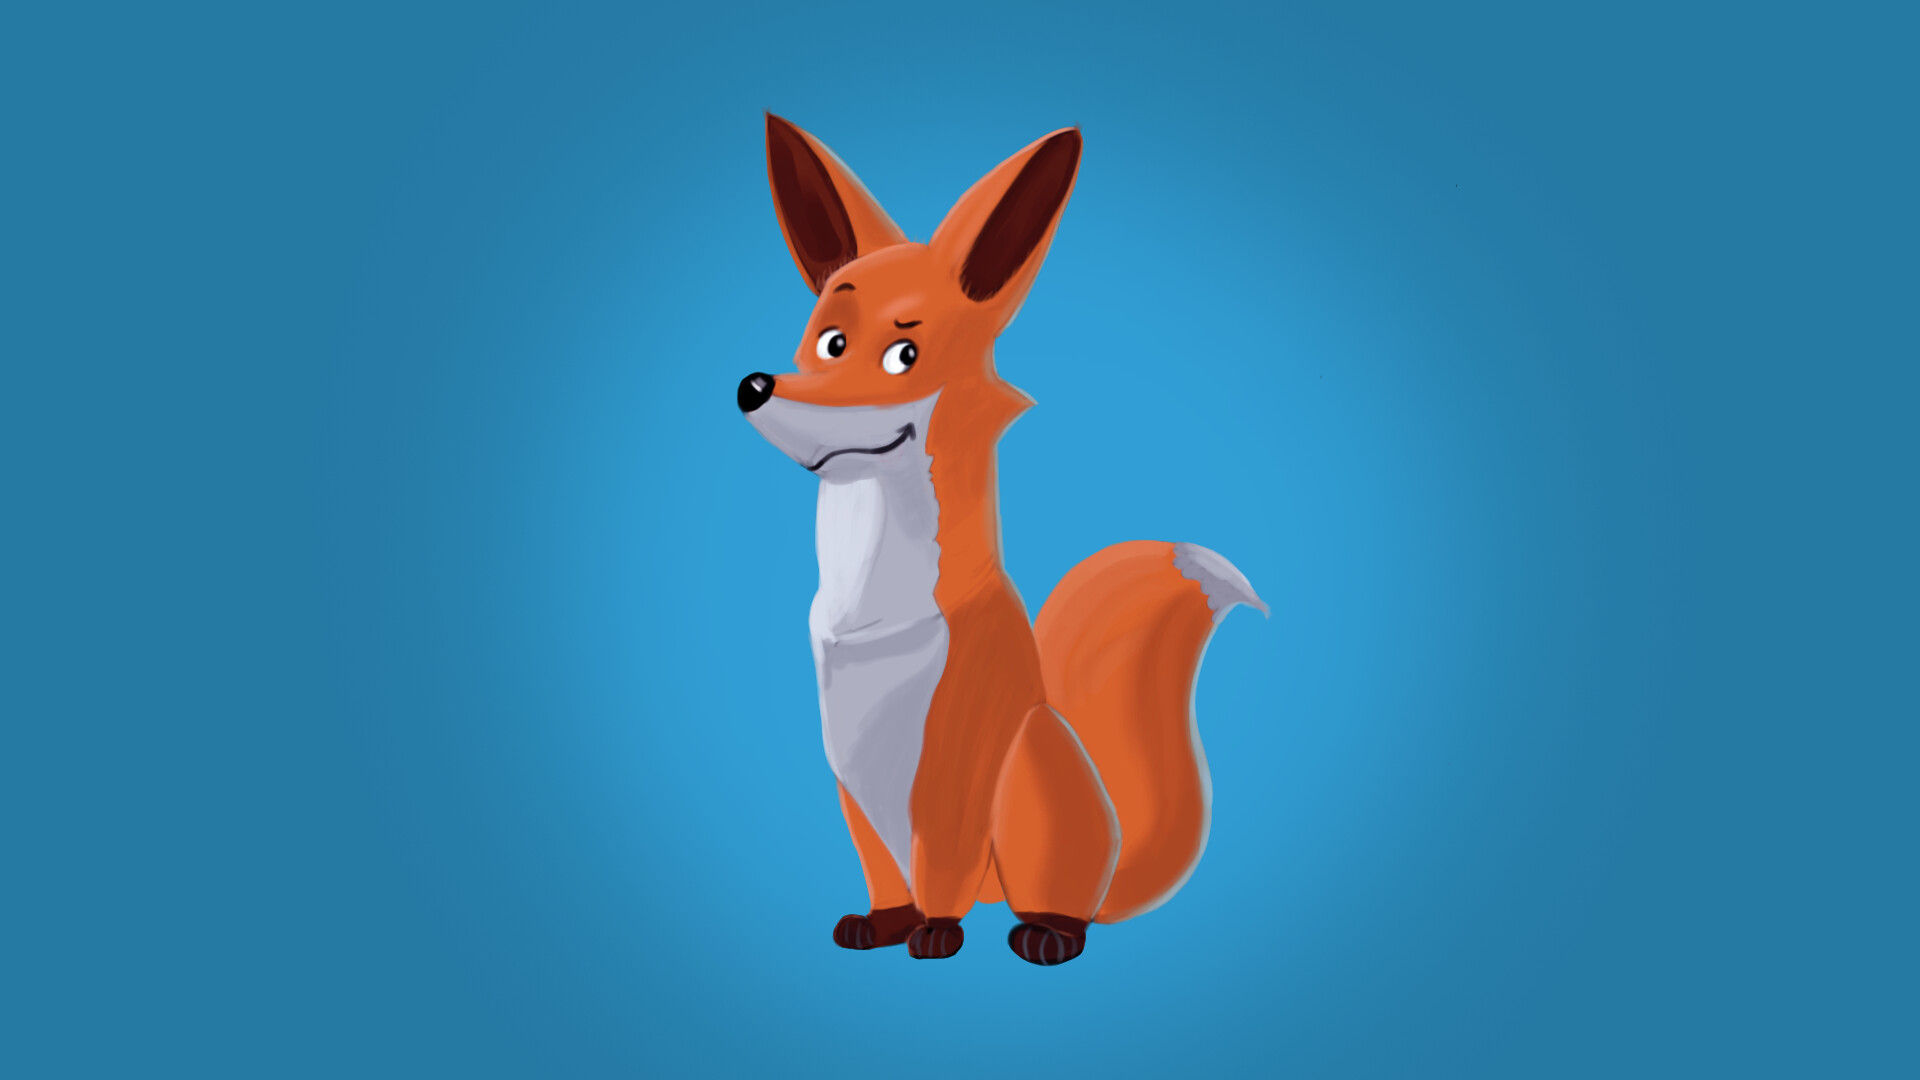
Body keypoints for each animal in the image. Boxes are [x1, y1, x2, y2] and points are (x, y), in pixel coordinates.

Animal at [737, 114, 1267, 966]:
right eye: (827, 343)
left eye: (904, 354)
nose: (755, 387)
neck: (869, 609)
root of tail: (1112, 860)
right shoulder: (848, 770)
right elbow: (881, 871)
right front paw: (882, 925)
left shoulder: (956, 760)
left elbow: (942, 871)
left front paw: (934, 935)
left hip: (1032, 771)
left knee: (1058, 906)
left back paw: (1045, 932)